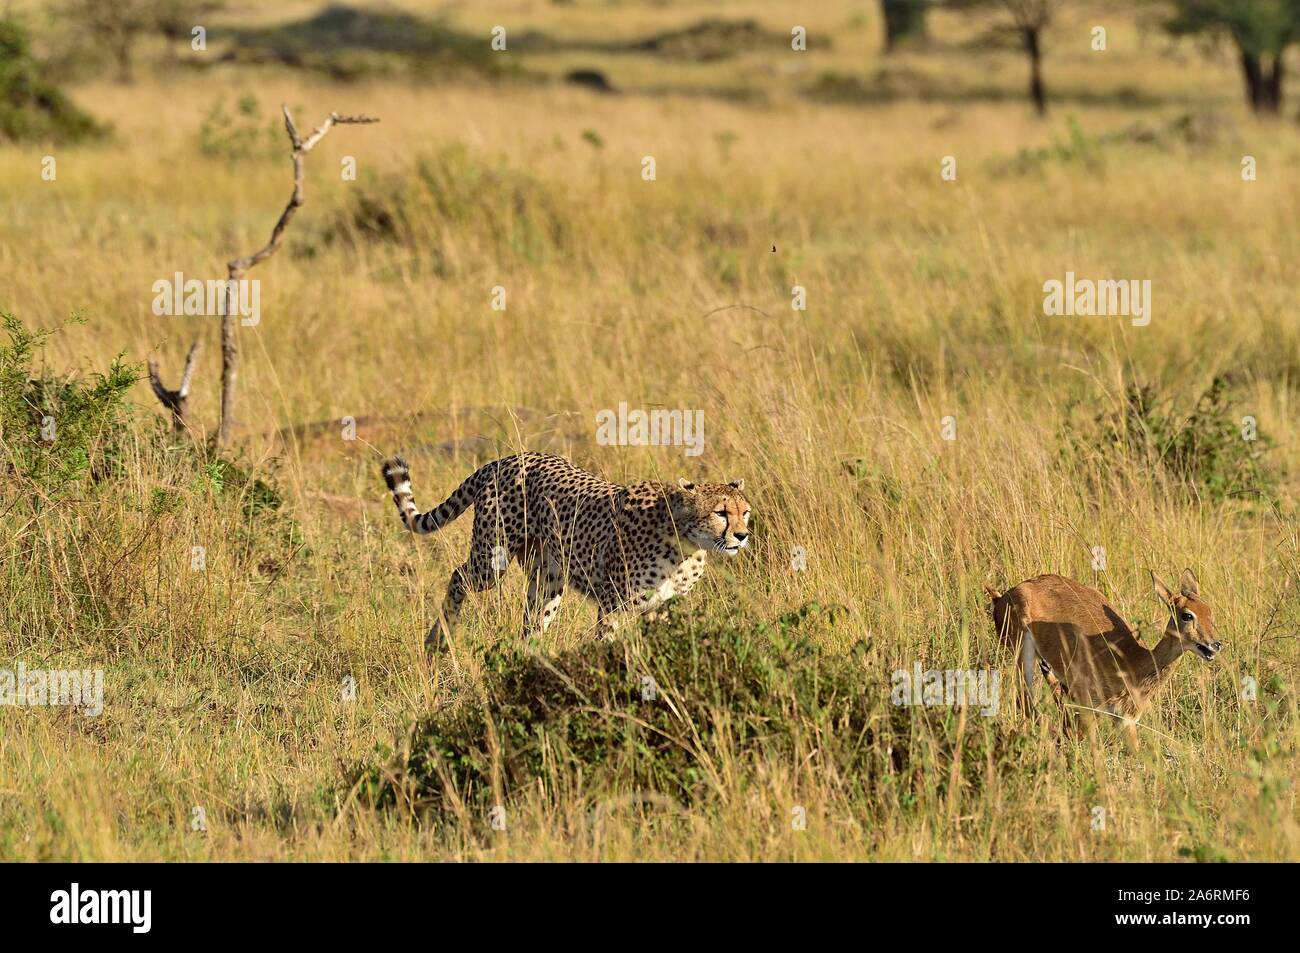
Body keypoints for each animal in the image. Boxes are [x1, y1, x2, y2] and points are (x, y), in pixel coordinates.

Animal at [381, 452, 751, 652]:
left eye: (745, 512)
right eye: (721, 513)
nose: (743, 535)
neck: (685, 545)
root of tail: (509, 458)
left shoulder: (661, 608)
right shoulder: (613, 602)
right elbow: (607, 642)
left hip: (548, 578)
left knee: (531, 623)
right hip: (492, 559)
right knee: (459, 576)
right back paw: (439, 640)